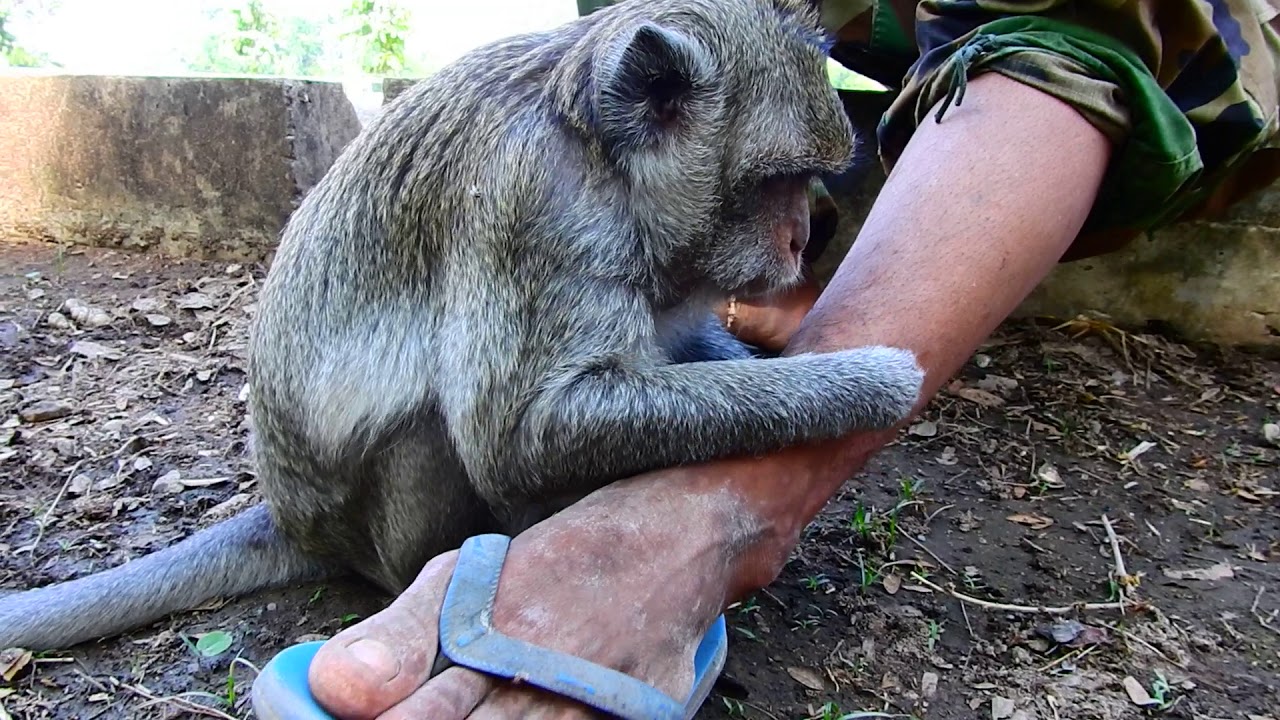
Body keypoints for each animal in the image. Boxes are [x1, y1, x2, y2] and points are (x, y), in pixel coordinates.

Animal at [0, 0, 924, 652]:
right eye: (778, 181)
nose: (806, 234)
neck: (604, 158)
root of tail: (294, 517)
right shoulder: (540, 210)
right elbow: (525, 432)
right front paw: (864, 385)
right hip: (384, 530)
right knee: (430, 433)